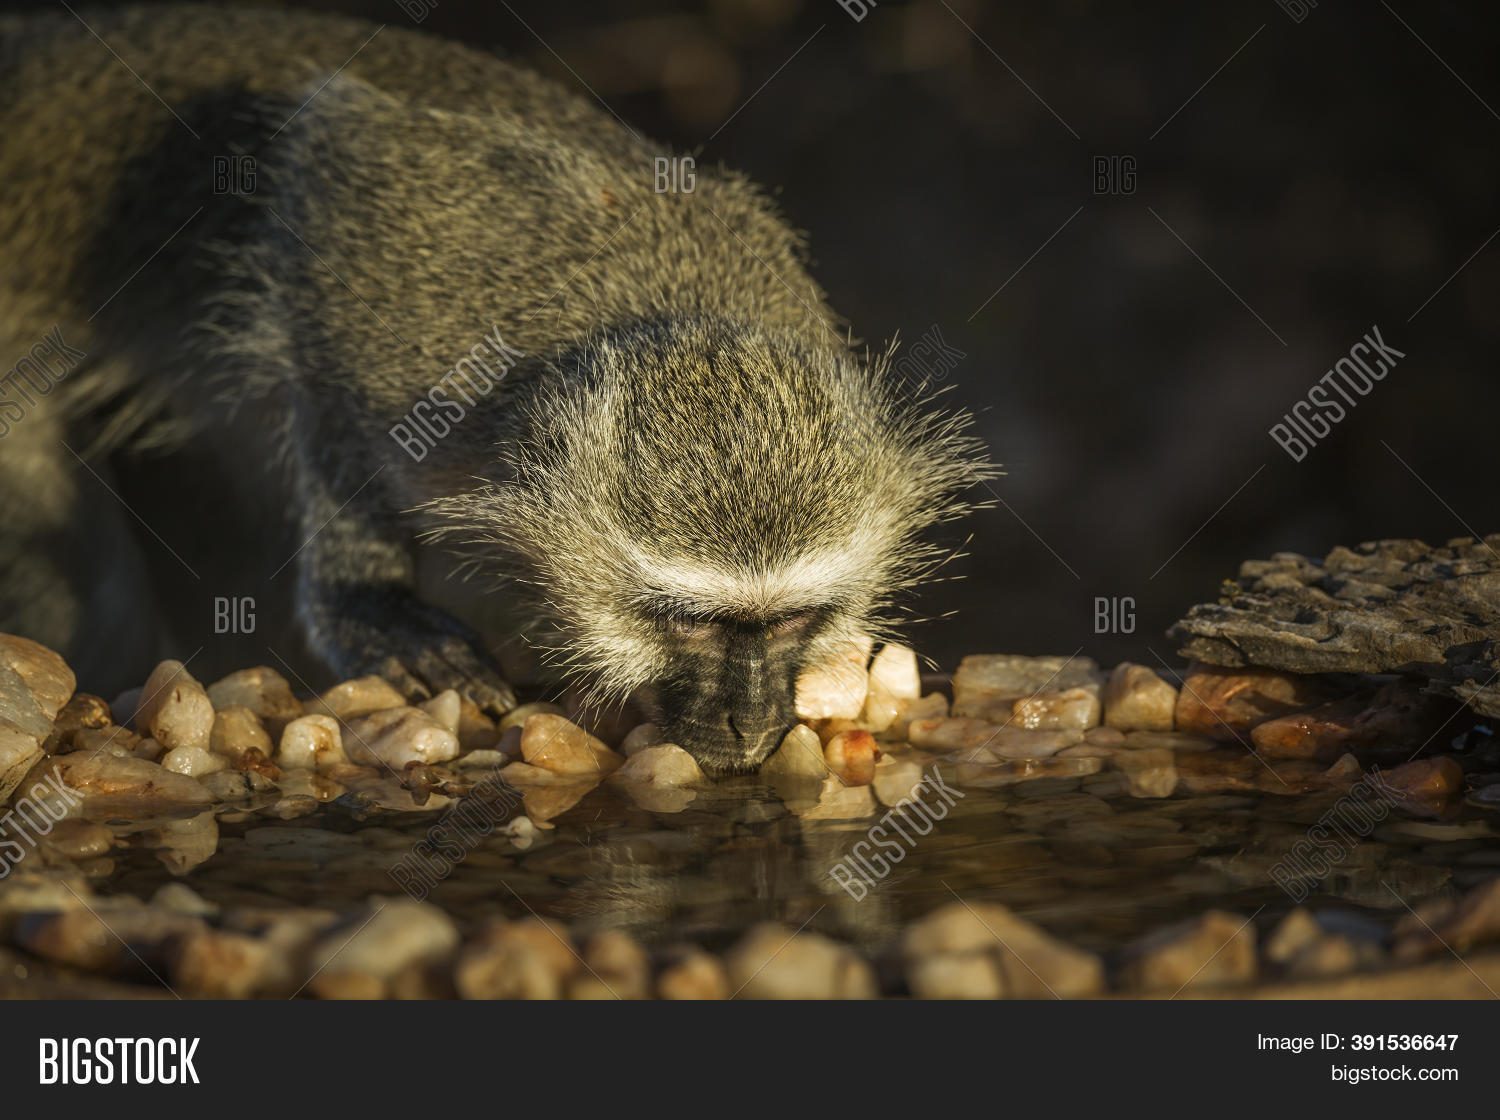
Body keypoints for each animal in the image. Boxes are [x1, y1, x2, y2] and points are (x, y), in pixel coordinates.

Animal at [0, 5, 988, 774]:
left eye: (793, 624)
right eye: (690, 624)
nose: (745, 722)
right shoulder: (391, 331)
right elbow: (328, 168)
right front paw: (369, 607)